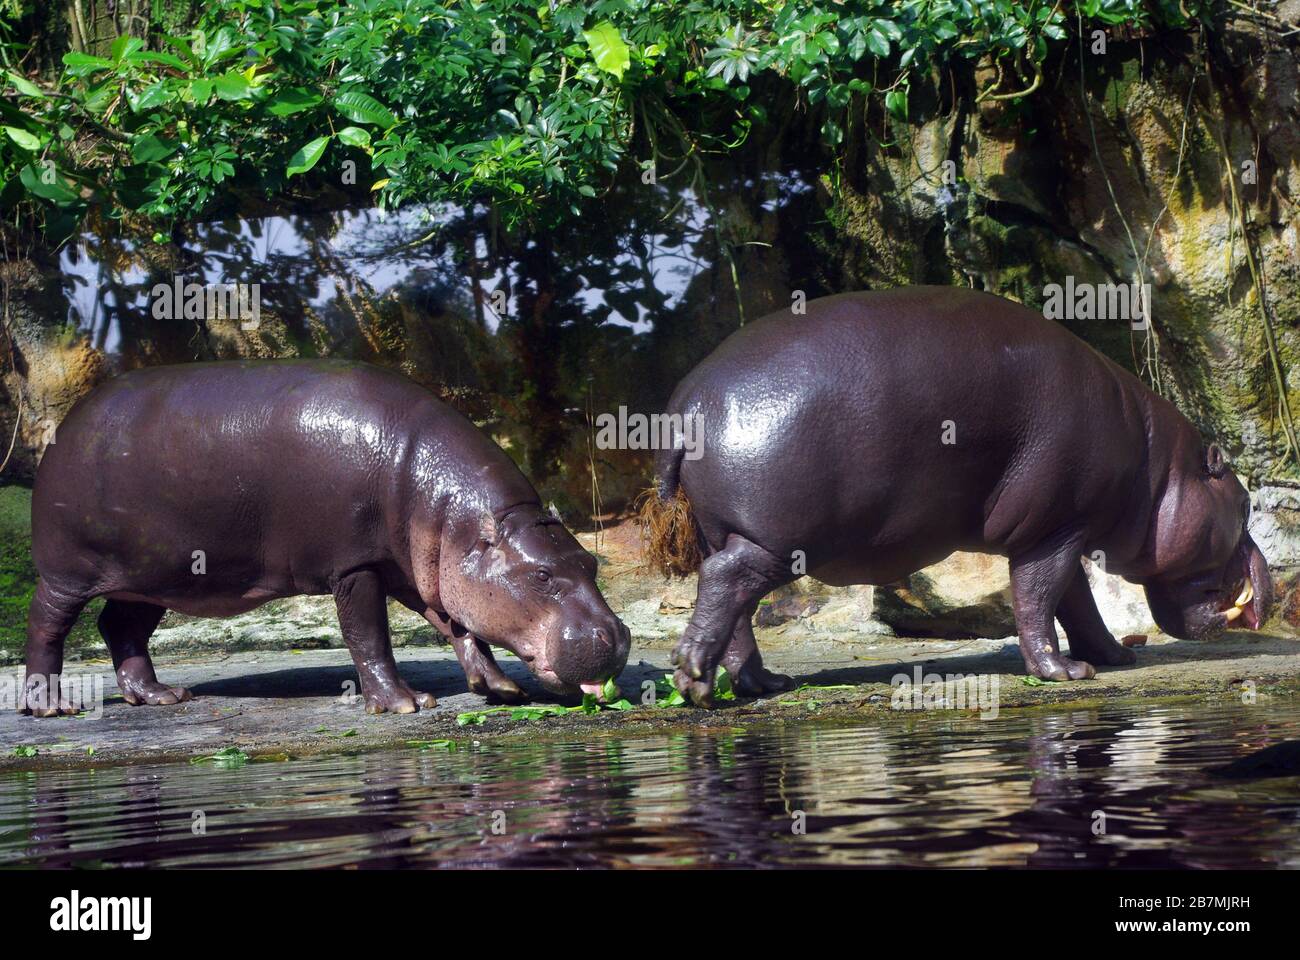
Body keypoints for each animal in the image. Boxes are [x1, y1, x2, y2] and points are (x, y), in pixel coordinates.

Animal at [21, 359, 630, 716]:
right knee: (48, 624)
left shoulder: (420, 569)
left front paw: (501, 689)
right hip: (68, 571)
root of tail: (63, 428)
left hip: (152, 576)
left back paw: (162, 697)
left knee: (120, 628)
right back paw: (49, 706)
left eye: (589, 563)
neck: (453, 517)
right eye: (542, 575)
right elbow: (369, 636)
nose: (616, 637)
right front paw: (406, 704)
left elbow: (457, 627)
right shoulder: (355, 566)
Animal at [642, 287, 1273, 706]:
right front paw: (1065, 673)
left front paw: (1115, 657)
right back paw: (695, 681)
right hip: (775, 540)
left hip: (725, 531)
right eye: (1243, 506)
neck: (1156, 470)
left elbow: (1078, 603)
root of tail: (690, 401)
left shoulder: (1063, 527)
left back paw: (765, 685)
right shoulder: (1055, 529)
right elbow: (1039, 598)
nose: (1264, 586)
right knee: (725, 583)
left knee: (732, 603)